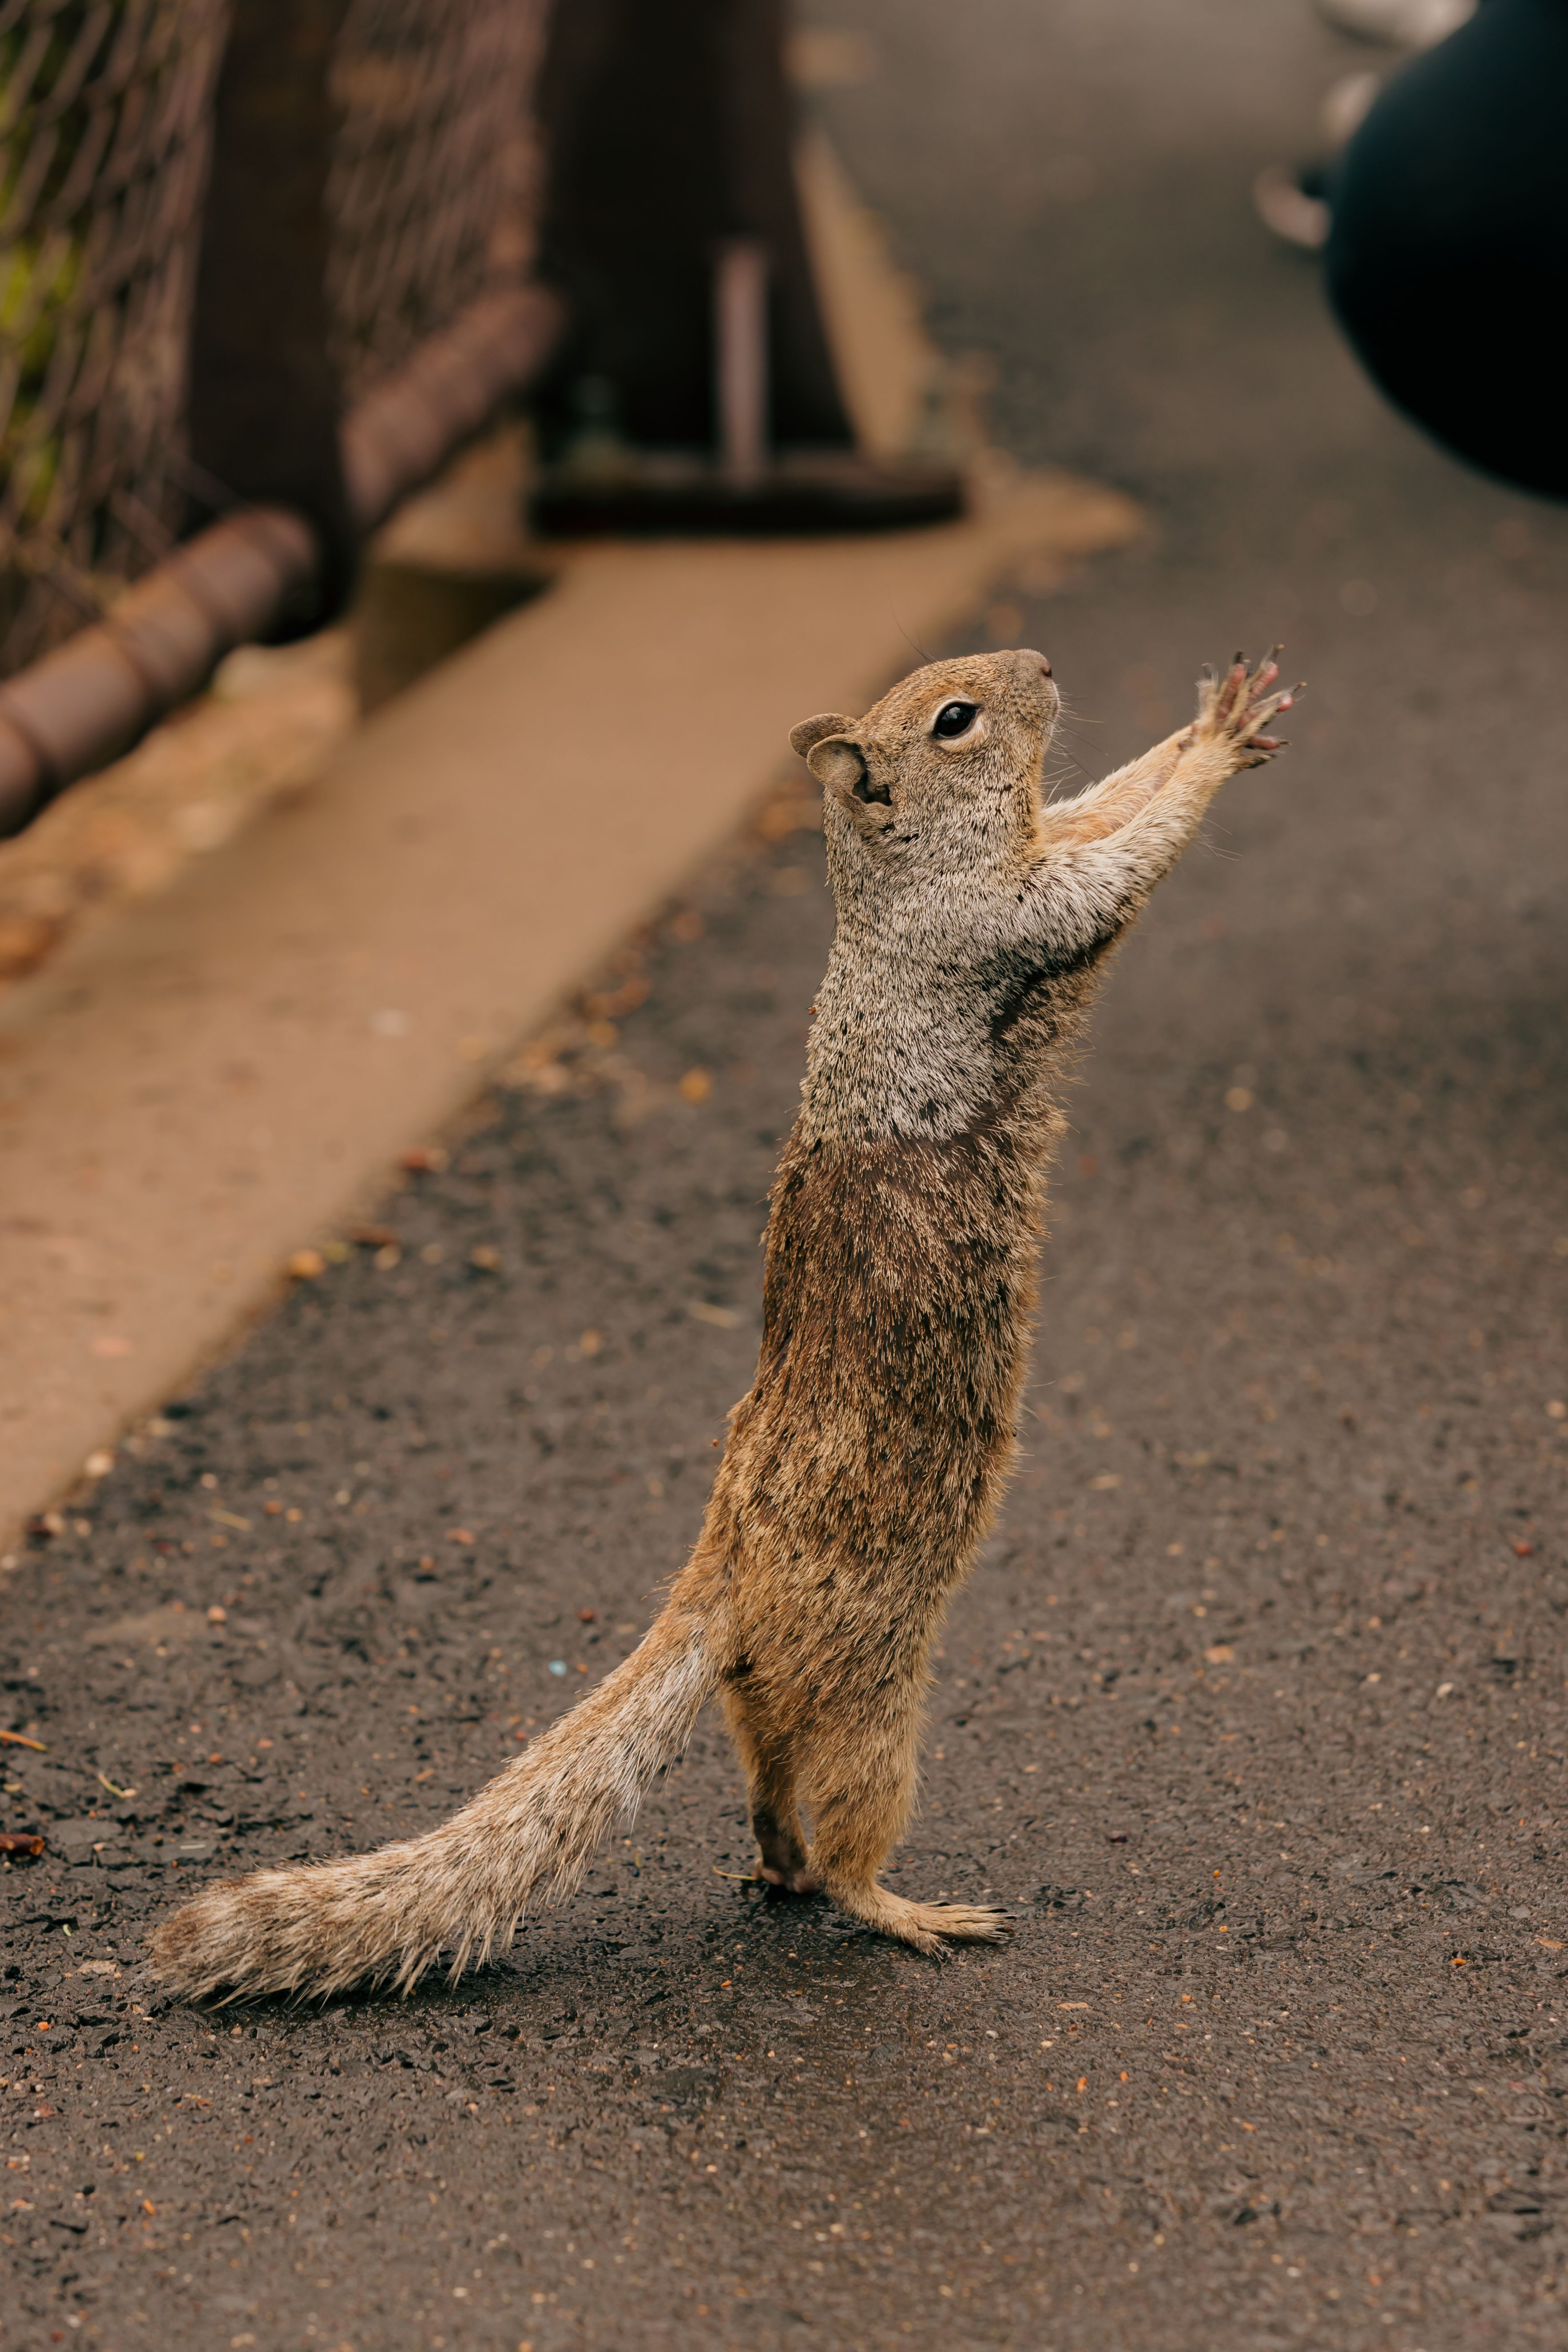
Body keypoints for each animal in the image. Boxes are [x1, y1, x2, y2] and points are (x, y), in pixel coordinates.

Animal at [152, 645, 1295, 2002]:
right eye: (953, 717)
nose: (1043, 665)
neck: (903, 875)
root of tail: (725, 1567)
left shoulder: (1042, 840)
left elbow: (1107, 798)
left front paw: (1203, 722)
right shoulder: (1006, 917)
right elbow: (1124, 855)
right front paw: (1215, 745)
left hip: (787, 1687)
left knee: (763, 1773)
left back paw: (776, 1860)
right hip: (873, 1687)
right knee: (841, 1821)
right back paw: (897, 1905)